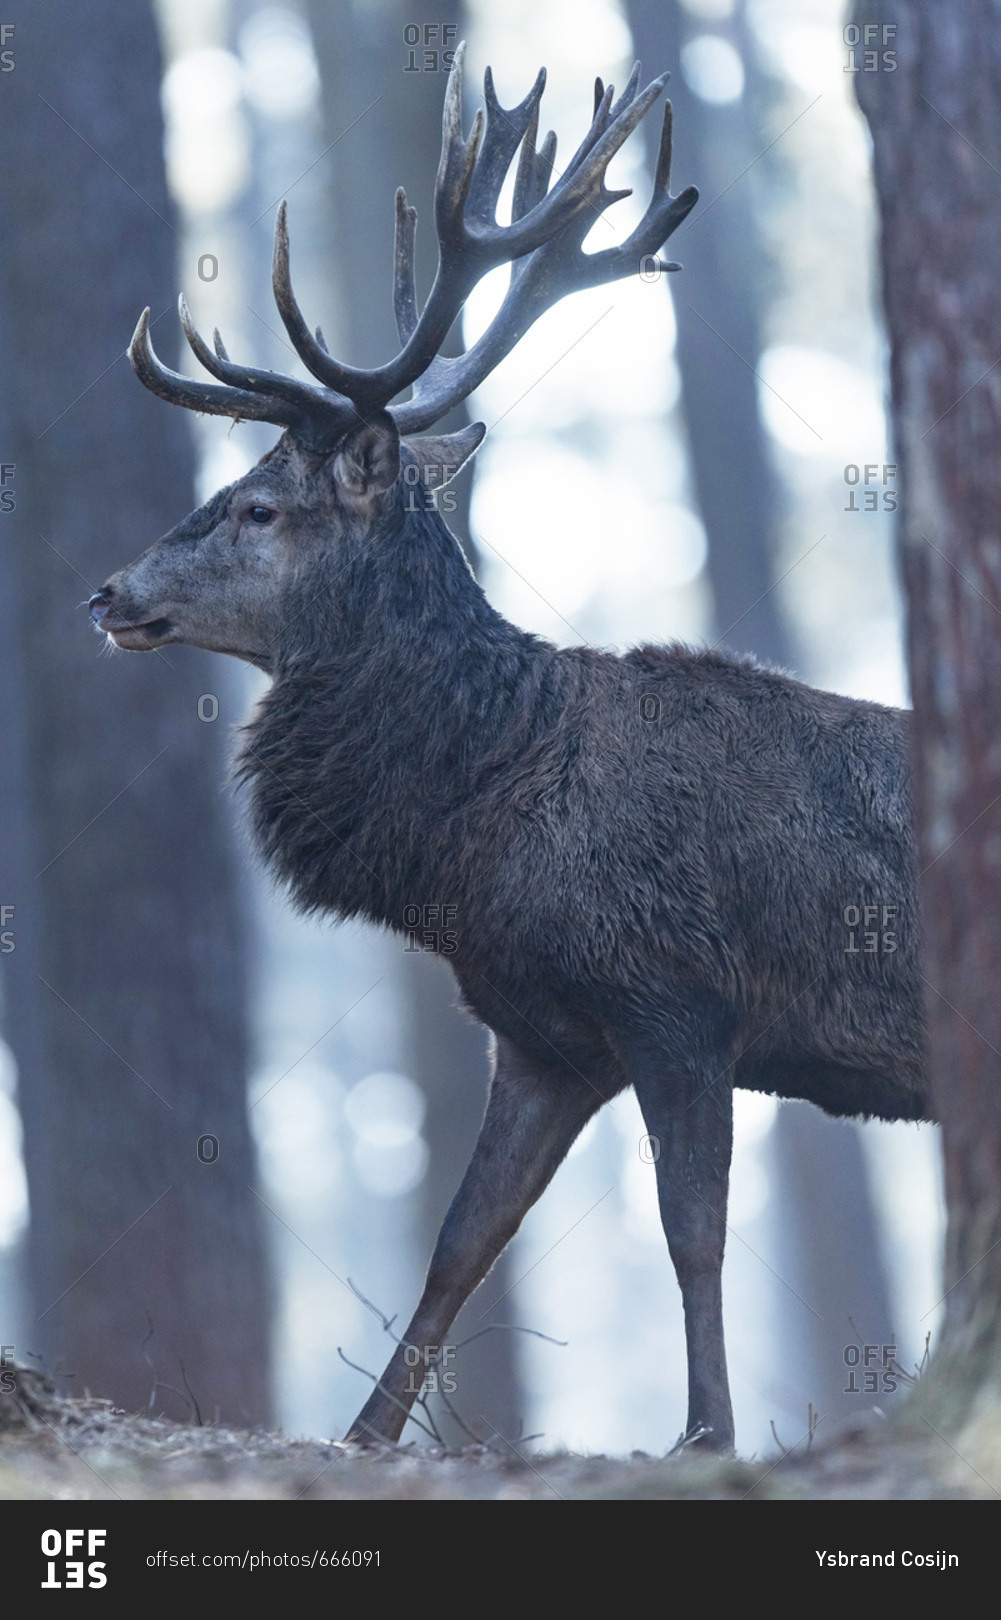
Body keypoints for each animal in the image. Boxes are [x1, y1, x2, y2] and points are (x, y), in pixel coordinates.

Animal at [89, 50, 925, 1455]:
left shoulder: (679, 998)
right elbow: (459, 1241)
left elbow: (690, 1234)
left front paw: (705, 1434)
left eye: (258, 506)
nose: (108, 592)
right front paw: (364, 1435)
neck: (479, 833)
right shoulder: (543, 1036)